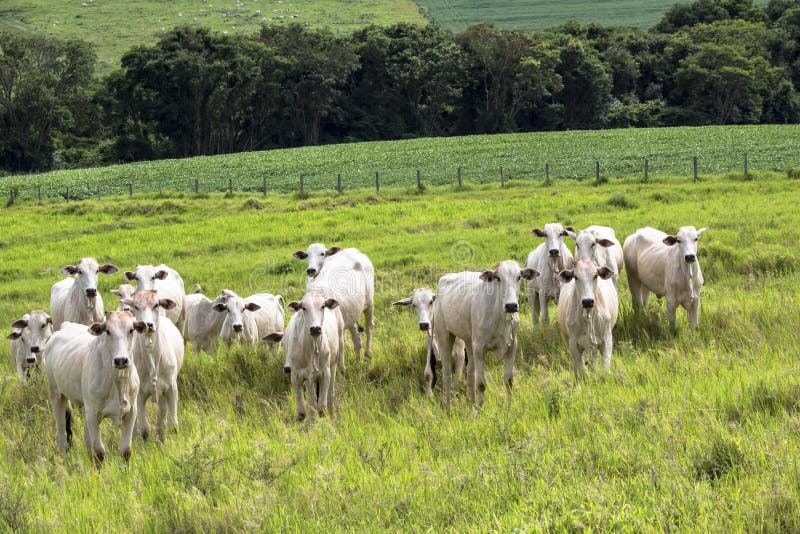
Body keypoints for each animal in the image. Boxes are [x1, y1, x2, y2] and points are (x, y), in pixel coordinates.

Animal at [44, 312, 146, 465]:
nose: (121, 360)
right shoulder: (93, 414)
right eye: (108, 331)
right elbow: (99, 452)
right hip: (56, 395)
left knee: (86, 437)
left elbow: (125, 451)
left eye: (131, 330)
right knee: (62, 434)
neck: (118, 382)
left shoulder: (131, 412)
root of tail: (64, 326)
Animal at [121, 290, 184, 442]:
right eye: (136, 306)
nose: (148, 325)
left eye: (156, 305)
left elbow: (173, 425)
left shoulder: (171, 388)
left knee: (162, 415)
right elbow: (144, 429)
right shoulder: (140, 394)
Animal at [432, 261, 538, 408]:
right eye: (498, 278)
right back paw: (447, 407)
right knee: (447, 374)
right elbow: (481, 384)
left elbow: (508, 380)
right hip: (444, 336)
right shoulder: (479, 348)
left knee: (470, 373)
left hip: (469, 341)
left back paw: (472, 403)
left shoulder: (512, 346)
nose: (511, 306)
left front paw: (509, 407)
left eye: (519, 277)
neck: (501, 317)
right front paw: (481, 409)